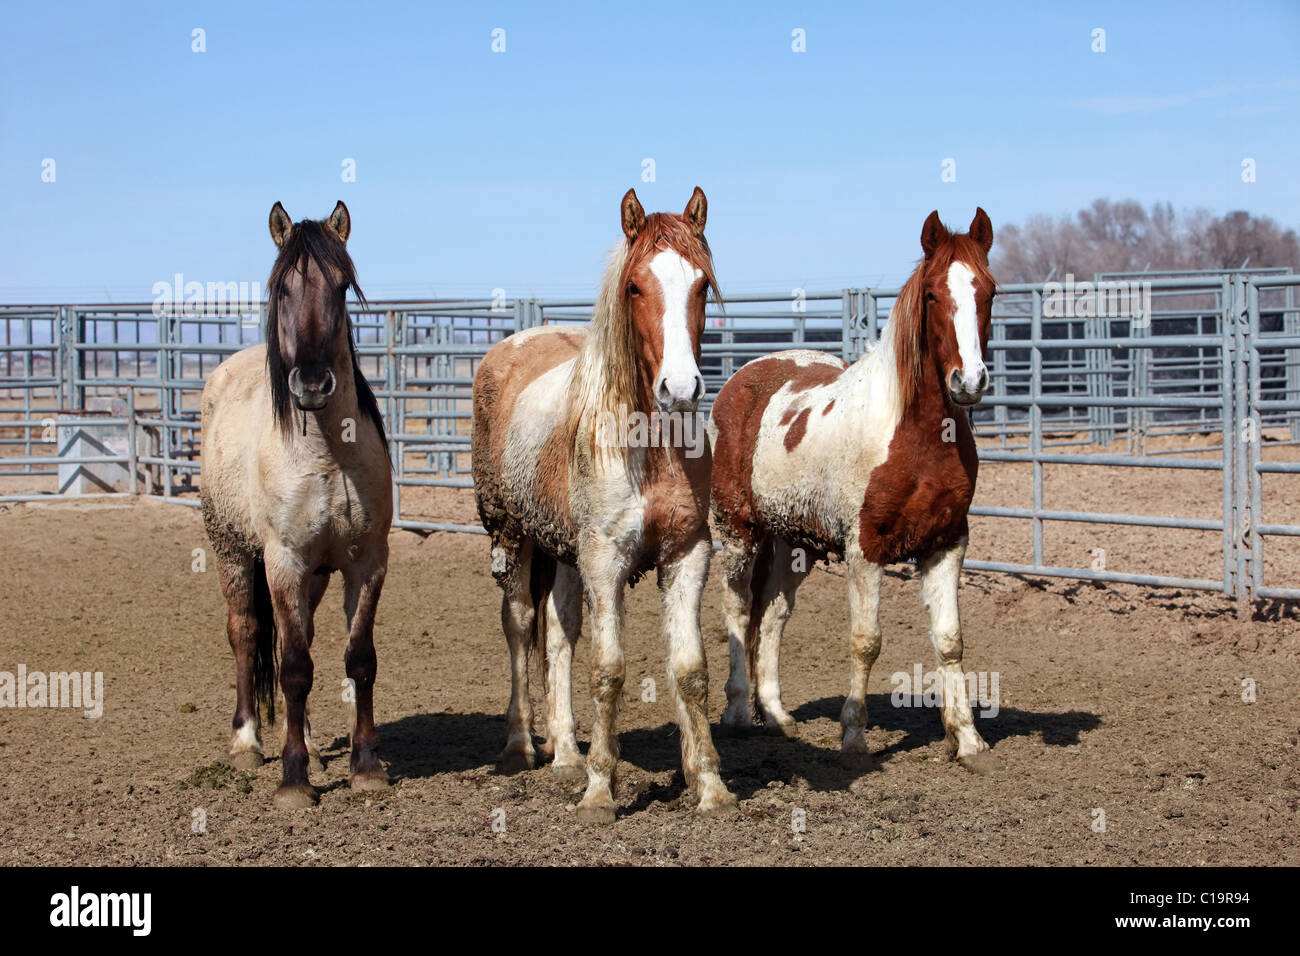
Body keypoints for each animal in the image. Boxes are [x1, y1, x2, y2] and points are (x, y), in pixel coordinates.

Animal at [199, 200, 393, 808]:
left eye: (340, 285)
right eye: (281, 287)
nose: (310, 383)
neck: (328, 455)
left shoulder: (365, 562)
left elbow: (359, 660)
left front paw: (365, 766)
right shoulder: (283, 560)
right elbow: (292, 668)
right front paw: (293, 778)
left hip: (312, 576)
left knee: (298, 635)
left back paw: (303, 734)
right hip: (233, 552)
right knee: (247, 633)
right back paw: (246, 742)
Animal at [471, 187, 737, 823]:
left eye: (701, 285)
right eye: (635, 286)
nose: (680, 389)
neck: (649, 446)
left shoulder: (687, 555)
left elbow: (690, 670)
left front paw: (709, 783)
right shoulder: (604, 560)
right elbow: (609, 669)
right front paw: (599, 791)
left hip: (564, 552)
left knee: (559, 635)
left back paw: (567, 752)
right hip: (513, 538)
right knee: (520, 627)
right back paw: (523, 747)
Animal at [707, 208, 1000, 773]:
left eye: (990, 290)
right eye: (932, 294)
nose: (969, 381)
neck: (913, 432)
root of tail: (741, 380)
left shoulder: (948, 544)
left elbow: (950, 642)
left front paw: (968, 739)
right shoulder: (865, 549)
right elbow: (866, 642)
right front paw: (854, 738)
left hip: (791, 543)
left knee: (772, 617)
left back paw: (775, 715)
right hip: (738, 531)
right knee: (737, 611)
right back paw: (737, 712)